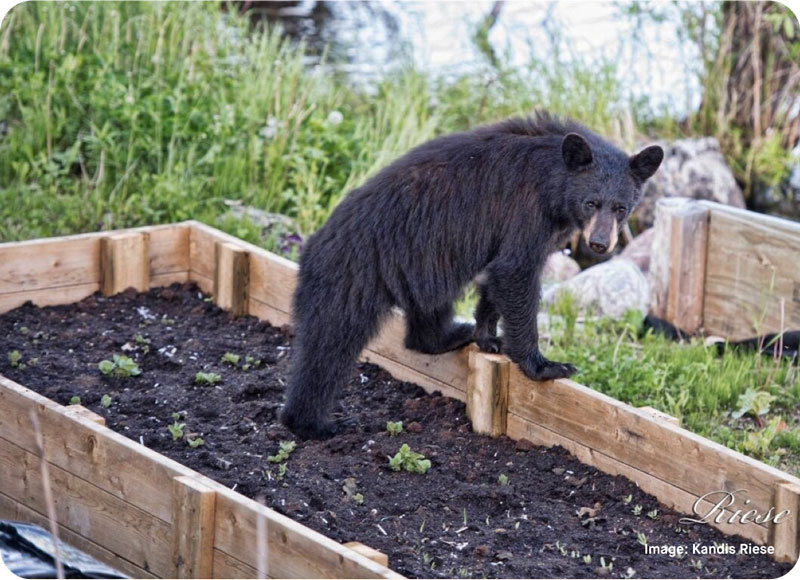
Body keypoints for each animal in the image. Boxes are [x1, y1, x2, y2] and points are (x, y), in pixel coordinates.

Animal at [280, 111, 663, 439]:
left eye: (621, 208)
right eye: (591, 203)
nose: (599, 244)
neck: (555, 178)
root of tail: (311, 247)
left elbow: (496, 277)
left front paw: (486, 337)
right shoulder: (527, 210)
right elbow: (516, 270)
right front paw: (544, 365)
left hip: (424, 267)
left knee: (426, 313)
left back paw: (449, 335)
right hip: (351, 279)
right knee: (328, 346)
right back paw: (313, 423)